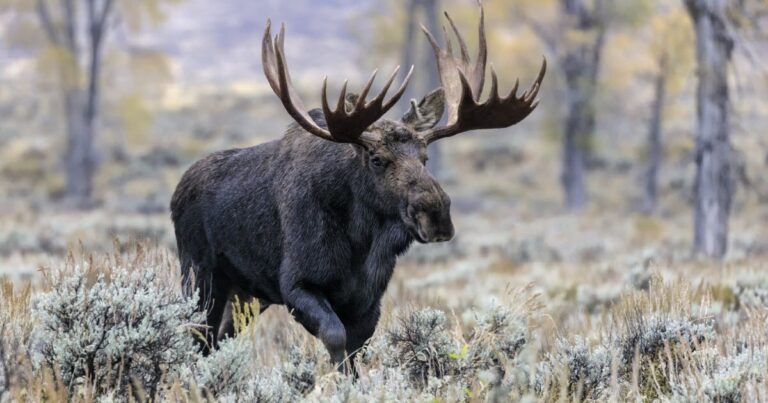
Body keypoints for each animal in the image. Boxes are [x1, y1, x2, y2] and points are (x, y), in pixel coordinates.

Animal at [170, 3, 545, 372]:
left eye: (425, 157)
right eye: (377, 159)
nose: (437, 215)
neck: (361, 243)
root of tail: (177, 192)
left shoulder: (368, 299)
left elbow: (356, 350)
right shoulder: (296, 284)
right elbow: (335, 339)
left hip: (246, 295)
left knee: (217, 340)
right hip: (201, 276)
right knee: (197, 337)